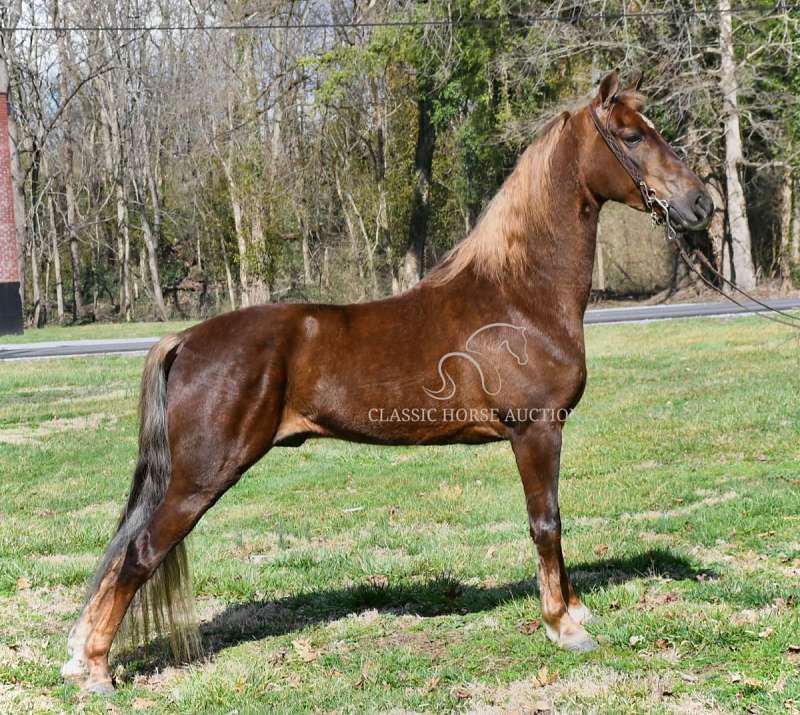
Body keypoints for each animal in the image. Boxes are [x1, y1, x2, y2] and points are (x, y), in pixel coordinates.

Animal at [62, 71, 713, 693]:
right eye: (632, 137)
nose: (702, 203)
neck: (520, 296)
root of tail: (185, 338)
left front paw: (574, 610)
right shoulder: (537, 432)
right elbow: (546, 521)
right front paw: (564, 625)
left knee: (125, 548)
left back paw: (79, 657)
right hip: (200, 477)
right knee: (141, 551)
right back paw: (96, 670)